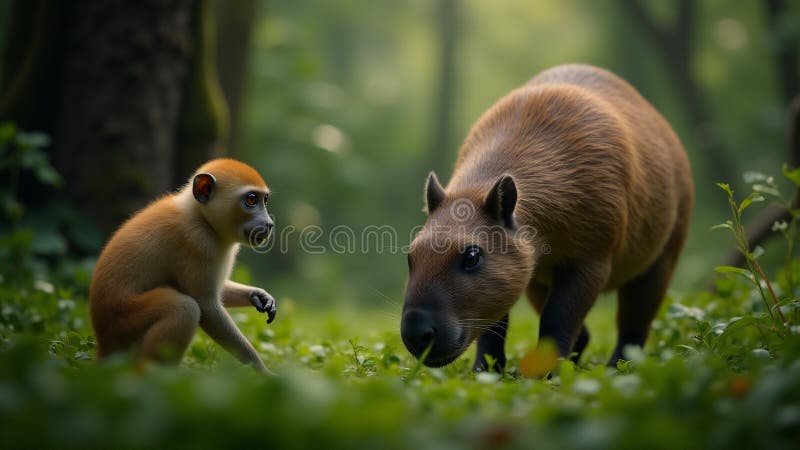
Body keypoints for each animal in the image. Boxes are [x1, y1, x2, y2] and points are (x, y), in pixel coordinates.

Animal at [89, 158, 277, 372]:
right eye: (251, 199)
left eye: (265, 200)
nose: (269, 224)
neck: (199, 216)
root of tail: (103, 344)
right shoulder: (198, 242)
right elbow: (206, 306)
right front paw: (263, 371)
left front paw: (258, 296)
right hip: (124, 323)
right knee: (185, 309)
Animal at [401, 64, 694, 372]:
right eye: (410, 256)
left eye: (471, 256)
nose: (416, 334)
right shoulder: (525, 272)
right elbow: (495, 324)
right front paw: (485, 370)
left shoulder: (592, 258)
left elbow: (558, 318)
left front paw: (547, 373)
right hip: (537, 281)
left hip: (660, 261)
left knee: (634, 326)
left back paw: (615, 366)